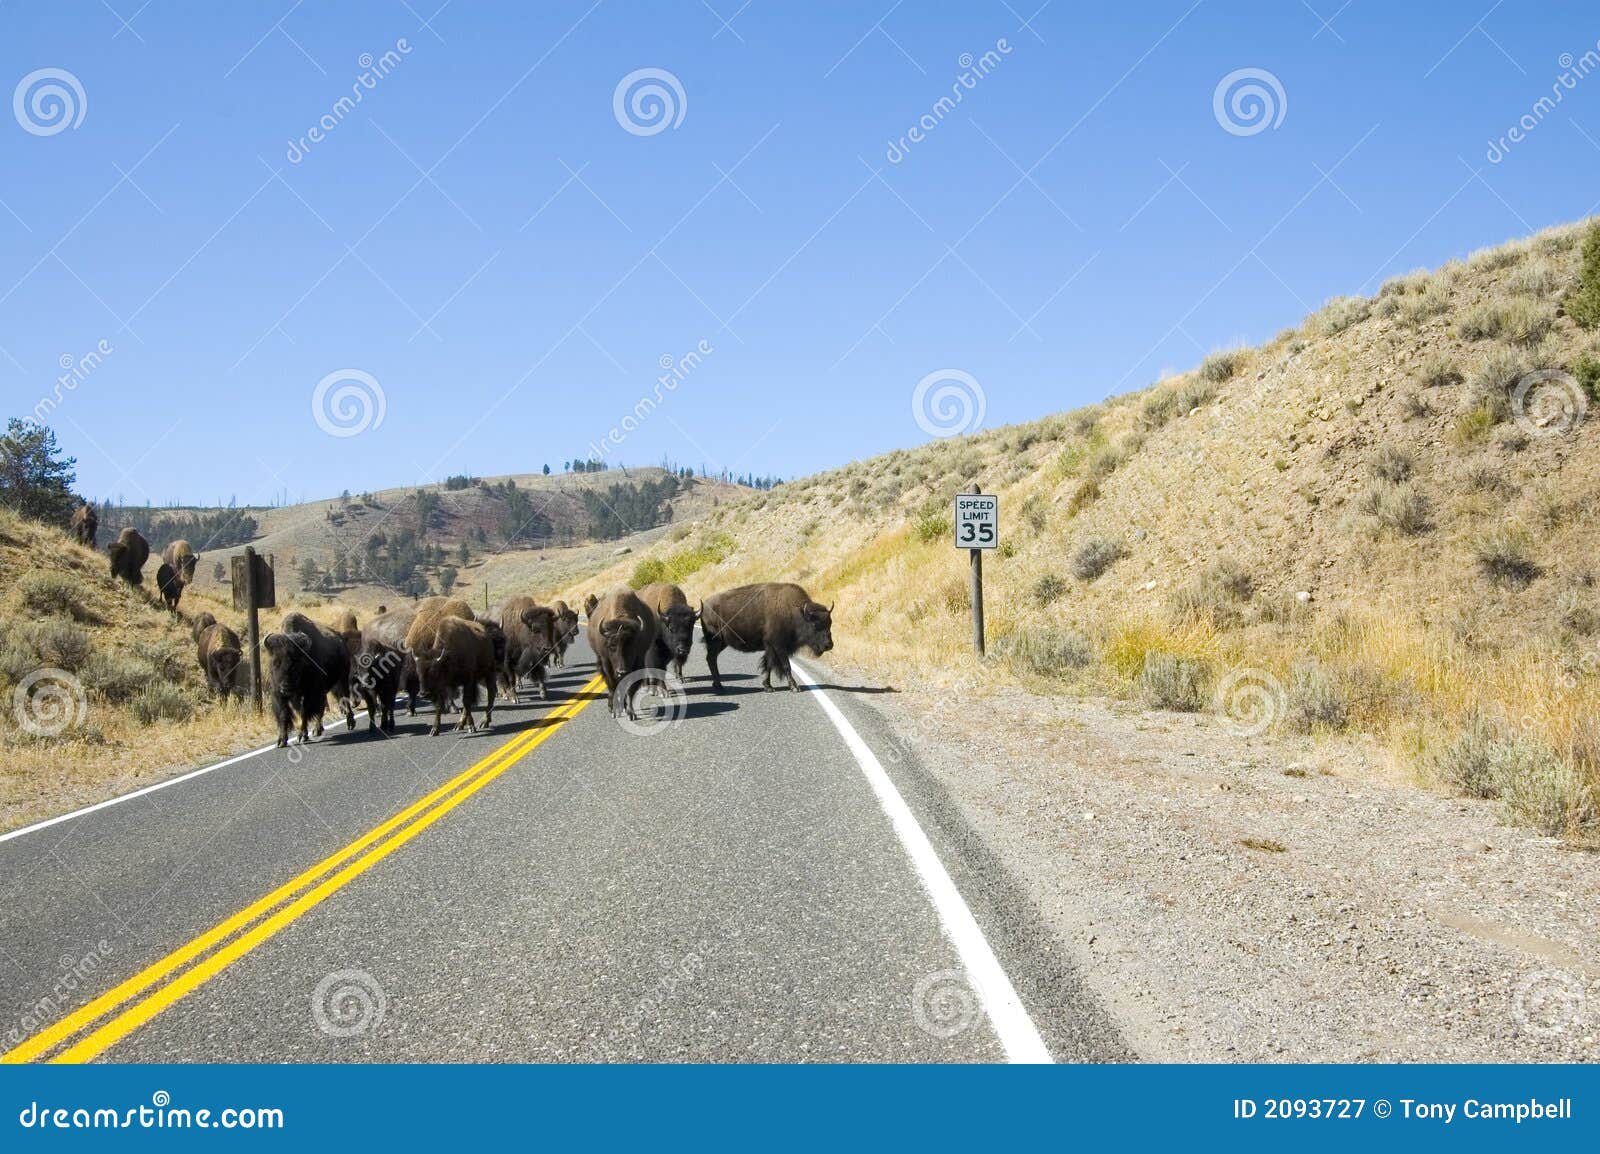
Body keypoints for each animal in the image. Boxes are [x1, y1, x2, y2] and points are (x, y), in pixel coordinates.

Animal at [700, 582, 833, 693]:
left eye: (830, 623)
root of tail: (704, 607)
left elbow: (768, 665)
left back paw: (717, 685)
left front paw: (768, 687)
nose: (829, 645)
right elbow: (786, 665)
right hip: (715, 641)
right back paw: (719, 685)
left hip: (722, 643)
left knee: (711, 658)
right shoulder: (778, 646)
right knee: (711, 659)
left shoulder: (770, 648)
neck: (795, 612)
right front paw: (795, 687)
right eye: (815, 625)